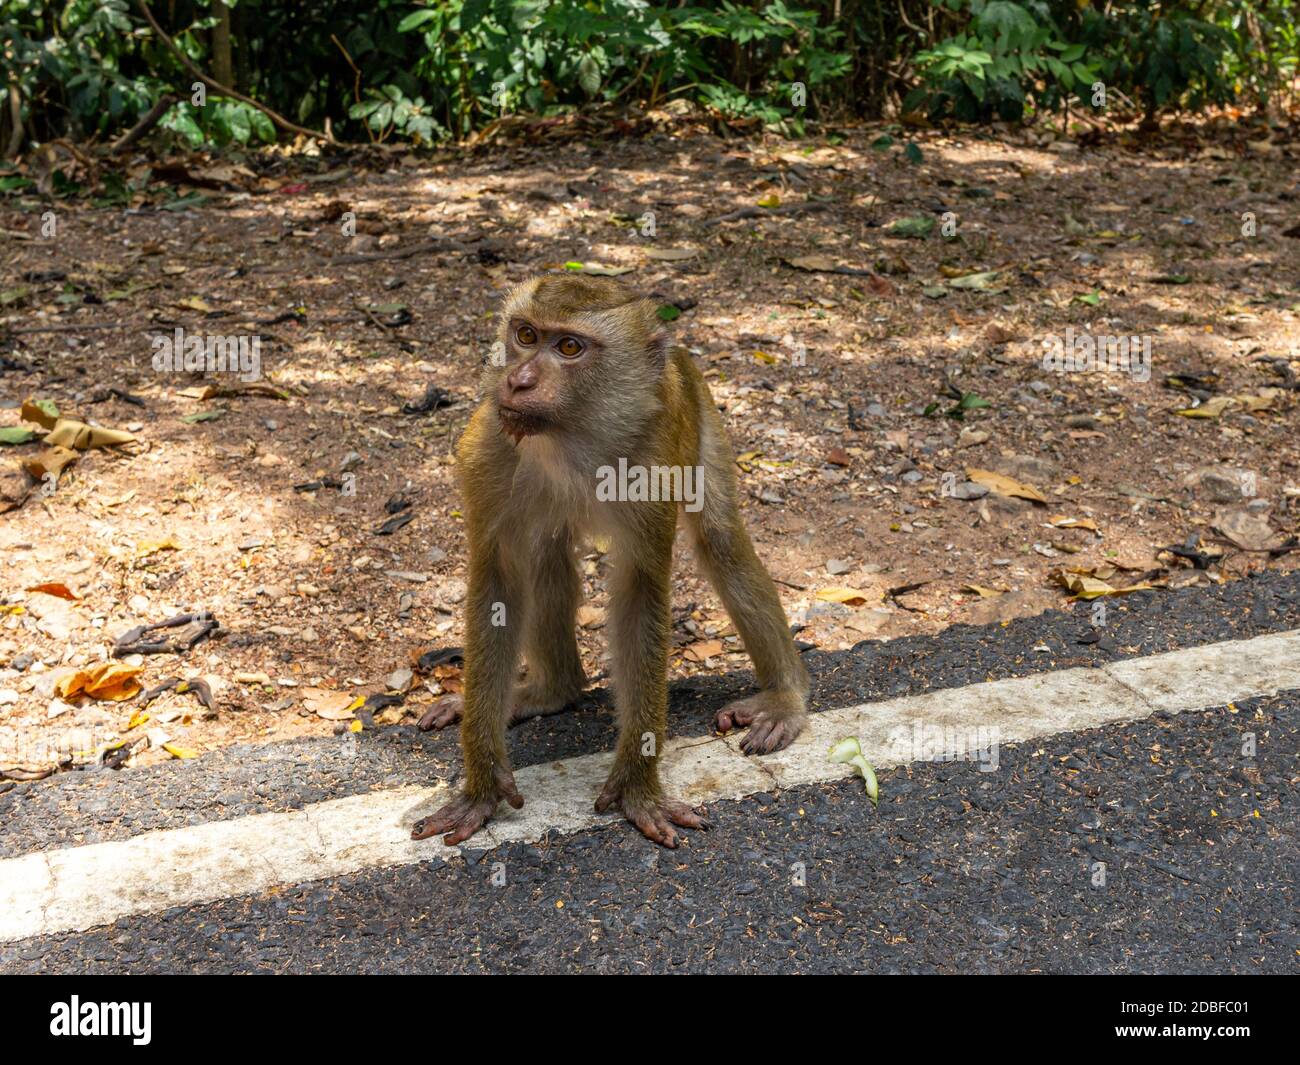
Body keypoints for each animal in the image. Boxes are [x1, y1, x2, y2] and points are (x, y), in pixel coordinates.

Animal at [411, 274, 810, 848]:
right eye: (525, 335)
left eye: (569, 348)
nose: (518, 380)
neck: (572, 438)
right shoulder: (488, 452)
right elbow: (499, 583)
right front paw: (481, 781)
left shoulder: (655, 461)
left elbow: (639, 592)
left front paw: (636, 786)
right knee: (545, 552)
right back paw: (550, 692)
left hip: (697, 405)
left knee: (720, 539)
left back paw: (784, 696)